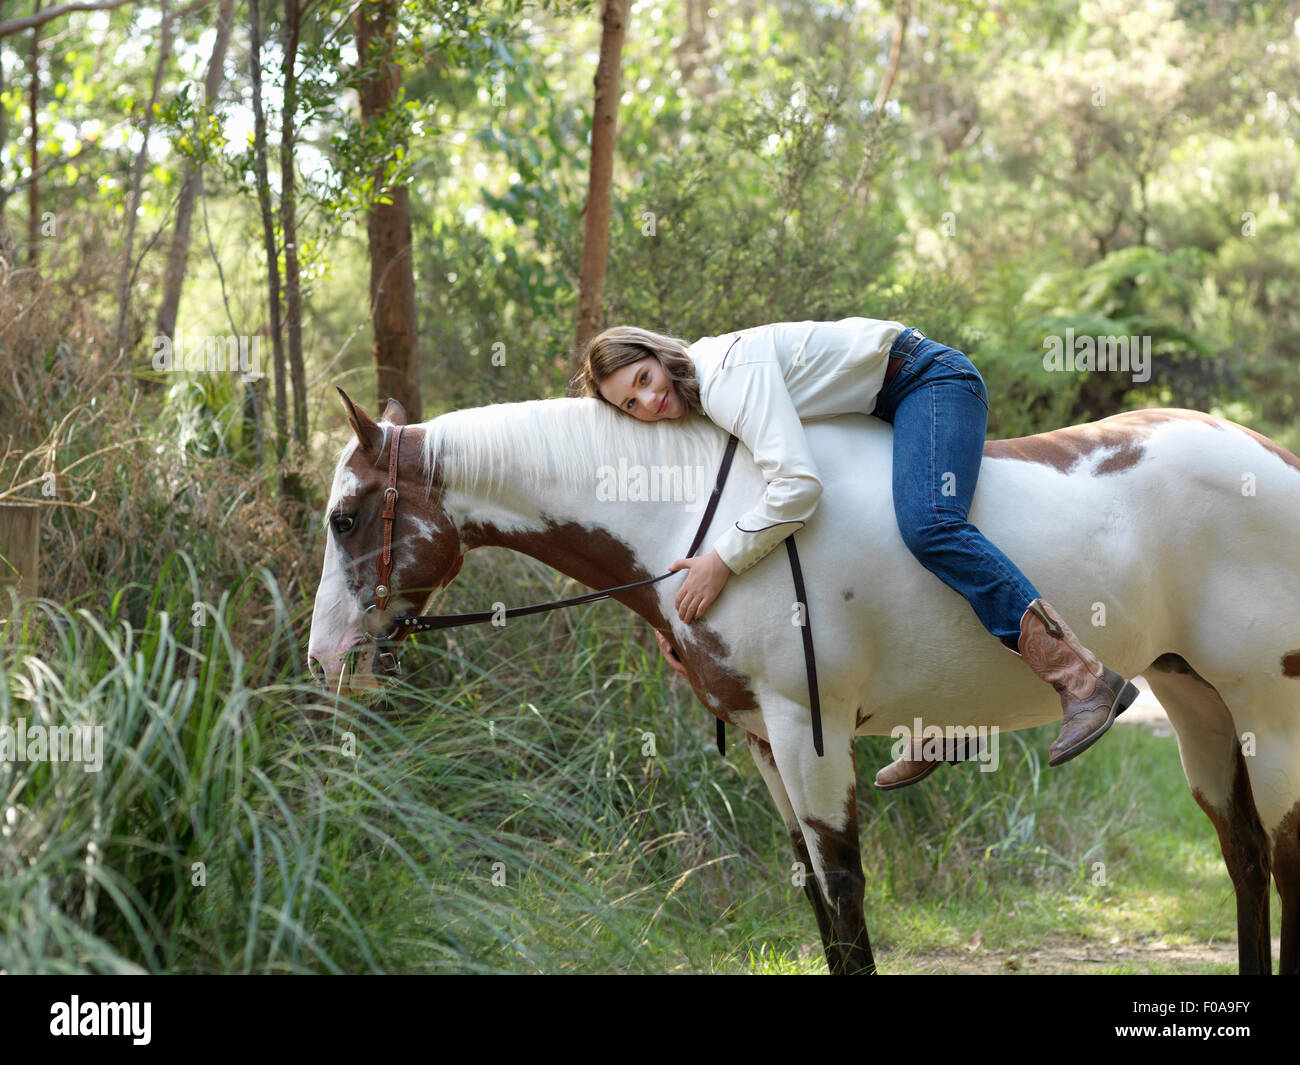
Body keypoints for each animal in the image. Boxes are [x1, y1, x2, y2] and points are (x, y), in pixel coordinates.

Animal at [307, 388, 1300, 975]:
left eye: (346, 516)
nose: (324, 660)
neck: (708, 517)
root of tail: (1273, 457)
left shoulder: (807, 732)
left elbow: (846, 892)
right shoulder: (762, 743)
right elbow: (817, 897)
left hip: (1271, 710)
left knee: (1284, 859)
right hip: (1197, 703)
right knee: (1245, 860)